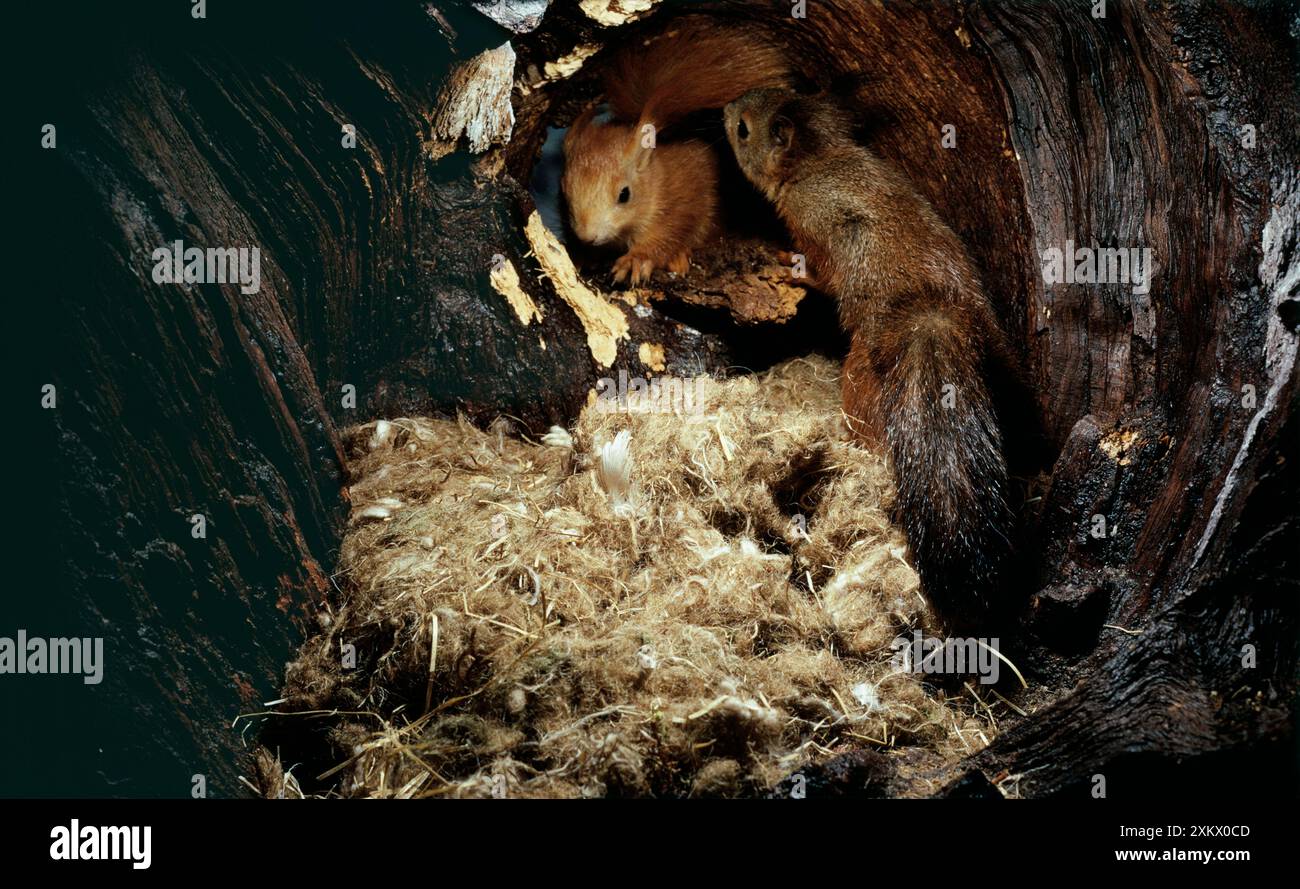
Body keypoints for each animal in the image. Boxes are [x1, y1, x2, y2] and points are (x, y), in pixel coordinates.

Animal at [561, 17, 791, 286]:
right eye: (564, 192)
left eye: (625, 195)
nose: (588, 236)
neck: (658, 180)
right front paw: (582, 255)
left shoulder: (681, 204)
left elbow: (667, 237)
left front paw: (636, 260)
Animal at [724, 87, 1016, 627]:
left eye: (744, 128)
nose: (724, 109)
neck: (820, 157)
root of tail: (934, 312)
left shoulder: (814, 230)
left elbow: (815, 273)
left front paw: (787, 267)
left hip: (858, 376)